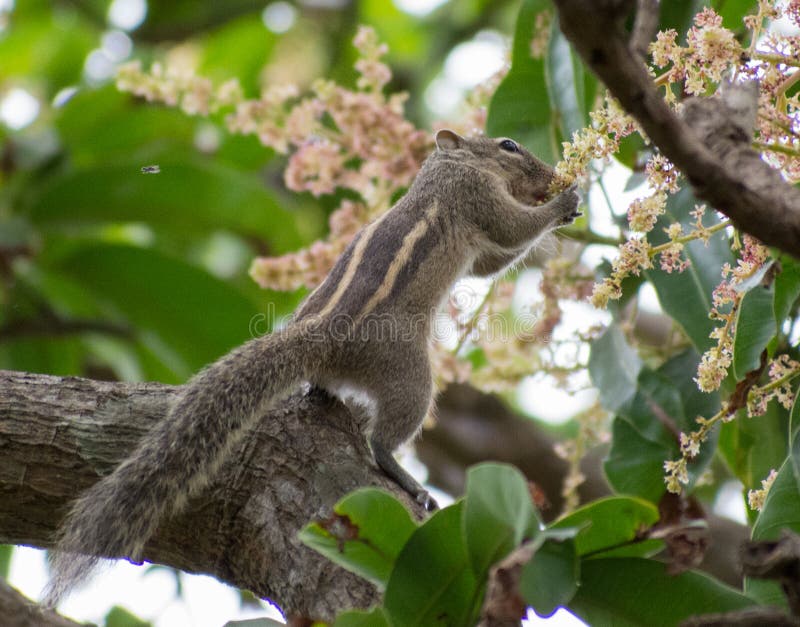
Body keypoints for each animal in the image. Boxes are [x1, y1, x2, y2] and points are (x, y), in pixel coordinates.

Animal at [44, 129, 580, 605]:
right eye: (509, 145)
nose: (550, 175)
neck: (445, 166)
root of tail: (317, 337)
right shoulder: (474, 196)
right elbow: (511, 230)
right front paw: (565, 202)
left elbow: (491, 263)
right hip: (409, 374)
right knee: (383, 440)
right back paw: (405, 477)